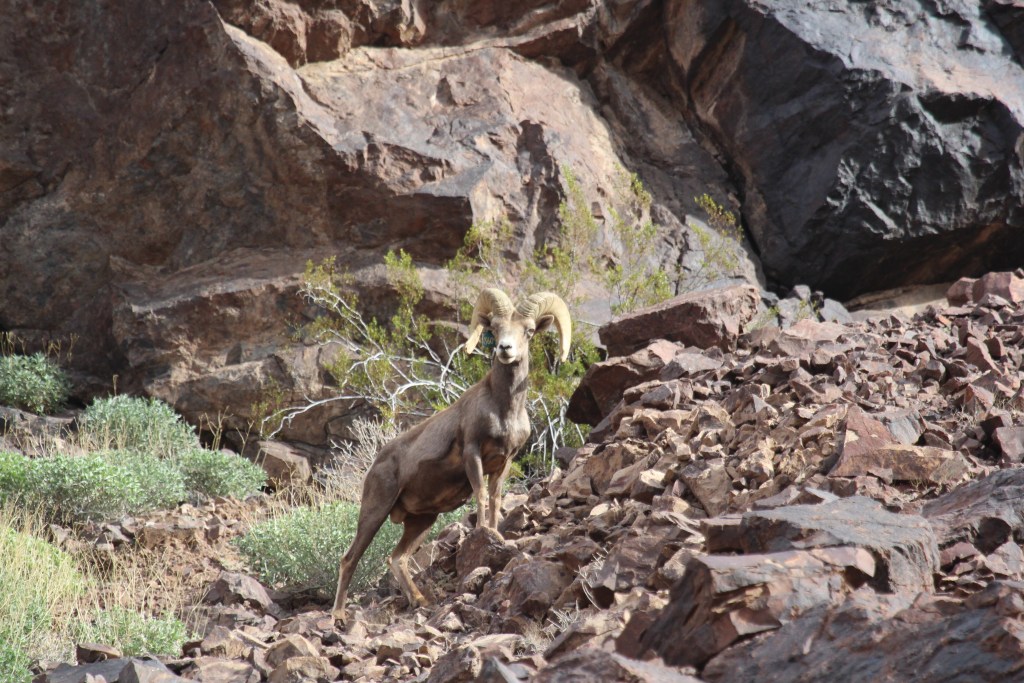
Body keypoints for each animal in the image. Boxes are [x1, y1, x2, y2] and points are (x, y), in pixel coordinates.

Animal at [331, 287, 572, 622]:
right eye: (495, 327)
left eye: (529, 330)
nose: (505, 349)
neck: (504, 409)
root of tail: (377, 463)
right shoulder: (472, 452)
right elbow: (480, 494)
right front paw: (483, 532)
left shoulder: (504, 461)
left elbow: (495, 498)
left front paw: (497, 535)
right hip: (375, 510)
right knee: (349, 558)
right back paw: (338, 615)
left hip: (422, 521)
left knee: (397, 558)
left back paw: (419, 600)